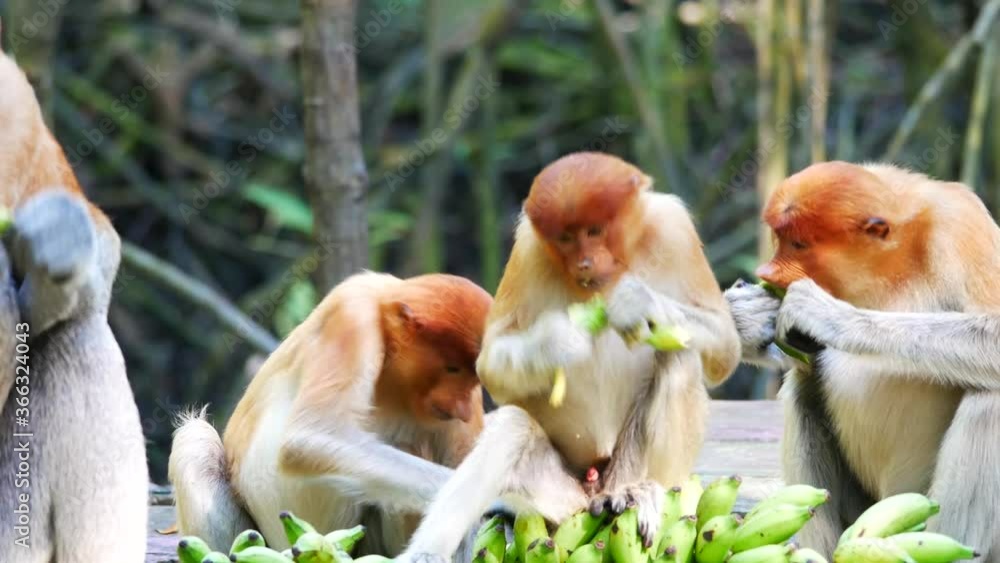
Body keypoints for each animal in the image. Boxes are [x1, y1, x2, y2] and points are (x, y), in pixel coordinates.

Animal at [169, 272, 493, 553]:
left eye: (473, 376)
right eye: (452, 368)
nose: (462, 409)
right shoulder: (351, 318)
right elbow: (308, 439)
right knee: (195, 438)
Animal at [398, 152, 741, 562]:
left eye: (594, 231)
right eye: (564, 238)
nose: (585, 264)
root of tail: (594, 489)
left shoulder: (674, 227)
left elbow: (725, 345)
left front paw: (635, 302)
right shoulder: (528, 249)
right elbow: (491, 362)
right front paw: (558, 341)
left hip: (625, 468)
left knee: (678, 356)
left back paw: (638, 494)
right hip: (559, 498)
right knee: (513, 428)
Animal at [724, 161, 1000, 558]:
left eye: (799, 244)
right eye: (779, 238)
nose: (766, 275)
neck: (895, 257)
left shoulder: (961, 227)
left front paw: (825, 314)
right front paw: (746, 316)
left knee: (989, 400)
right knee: (802, 390)